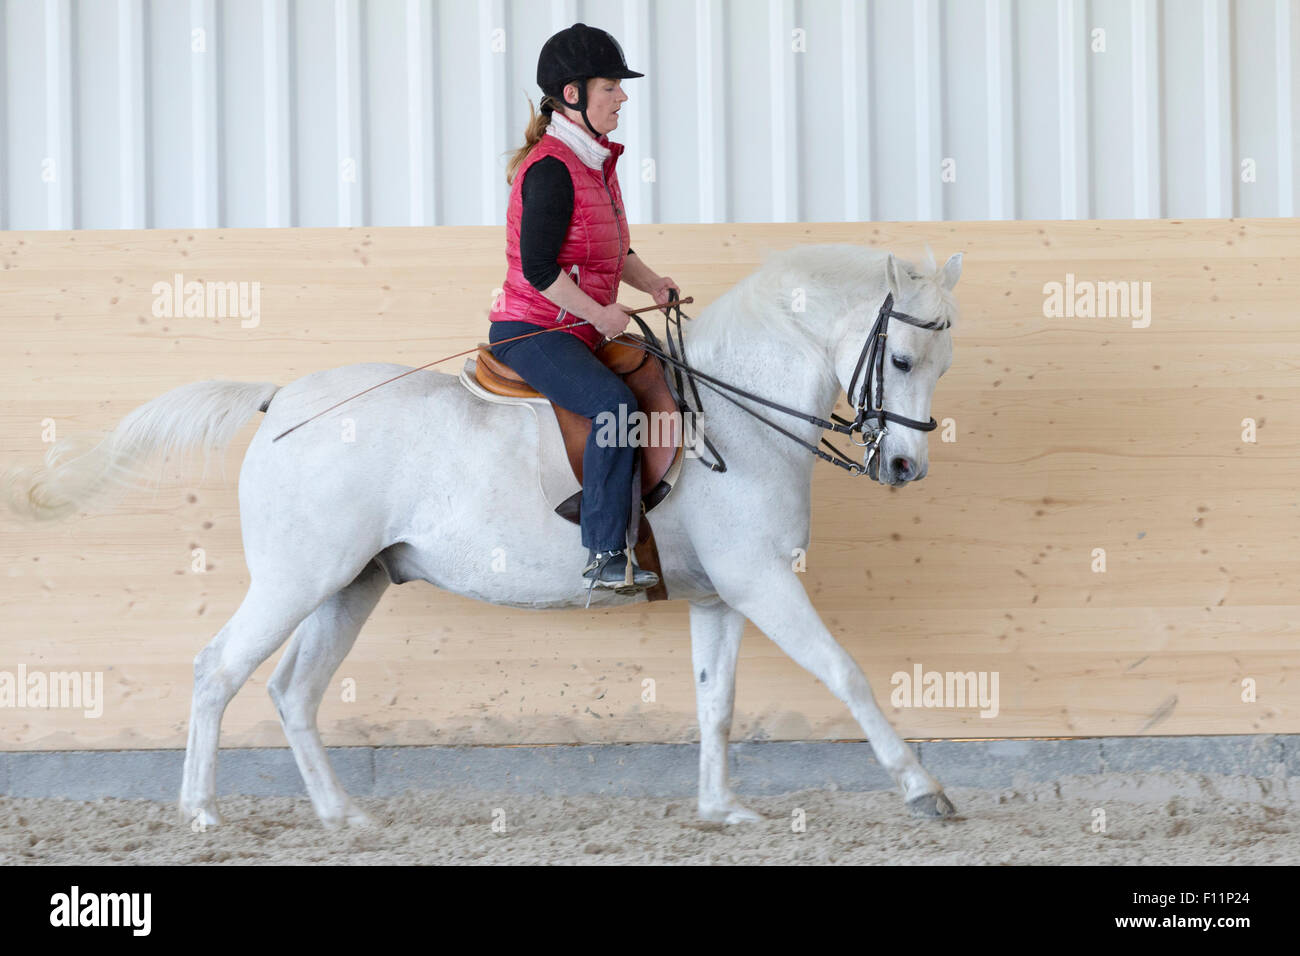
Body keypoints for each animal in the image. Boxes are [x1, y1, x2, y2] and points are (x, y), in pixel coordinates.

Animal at [5, 243, 962, 828]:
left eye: (942, 364)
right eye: (902, 360)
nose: (905, 467)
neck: (732, 408)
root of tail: (280, 400)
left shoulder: (722, 594)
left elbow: (714, 704)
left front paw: (721, 810)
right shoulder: (763, 581)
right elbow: (845, 671)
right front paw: (924, 789)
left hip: (350, 585)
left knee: (293, 692)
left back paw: (345, 816)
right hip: (297, 579)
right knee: (218, 672)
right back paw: (202, 812)